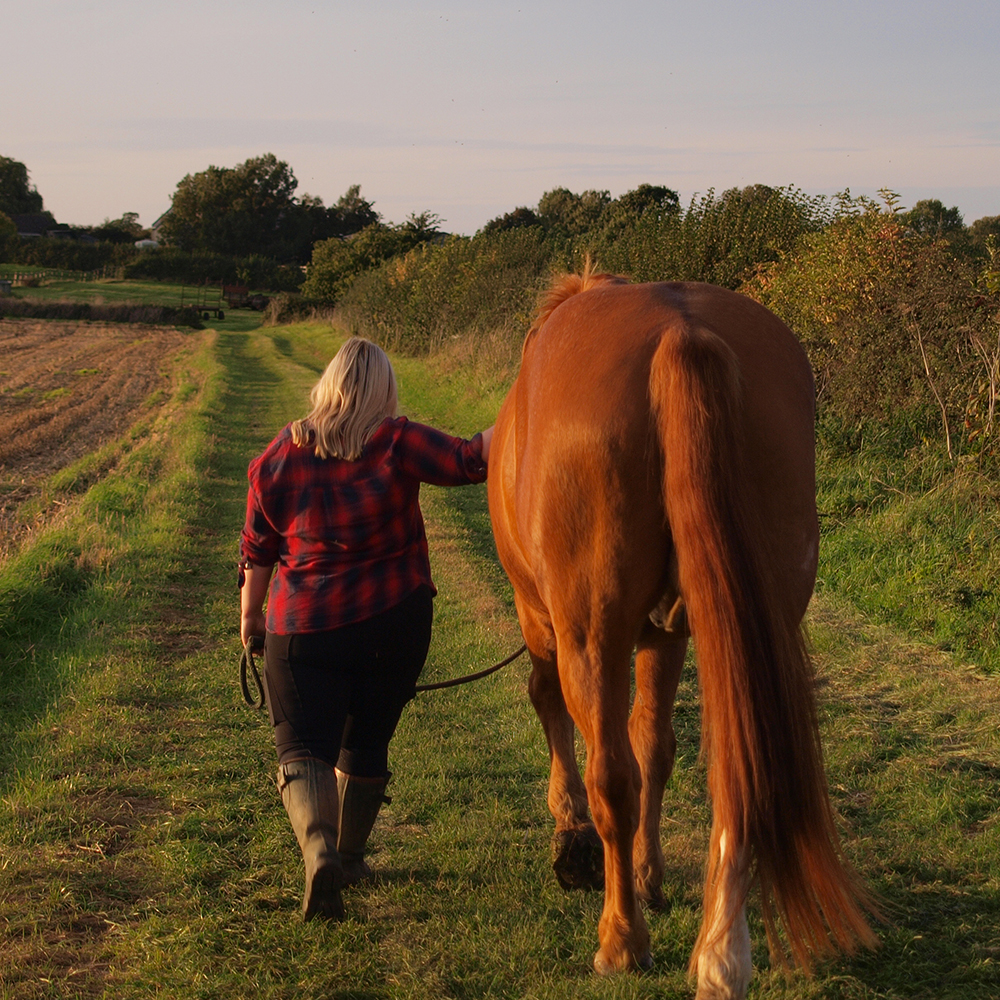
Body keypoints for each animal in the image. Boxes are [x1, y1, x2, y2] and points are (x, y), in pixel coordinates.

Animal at [486, 268, 877, 998]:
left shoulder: (543, 620)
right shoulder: (667, 638)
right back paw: (721, 954)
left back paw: (621, 940)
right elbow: (657, 747)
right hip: (754, 620)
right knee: (733, 768)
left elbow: (554, 708)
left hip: (591, 632)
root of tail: (679, 332)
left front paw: (572, 840)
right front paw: (648, 875)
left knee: (610, 774)